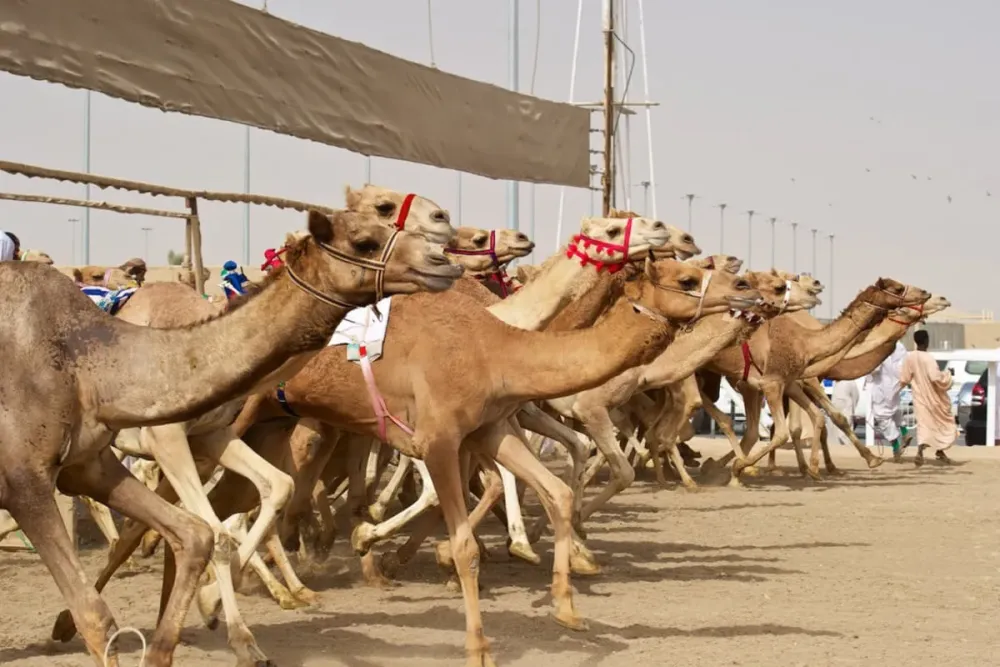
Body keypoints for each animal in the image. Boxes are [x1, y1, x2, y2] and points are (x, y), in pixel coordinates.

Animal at [0, 207, 461, 667]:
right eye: (364, 241)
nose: (442, 260)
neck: (90, 363)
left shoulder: (106, 460)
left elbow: (212, 526)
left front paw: (209, 626)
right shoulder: (34, 477)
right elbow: (101, 611)